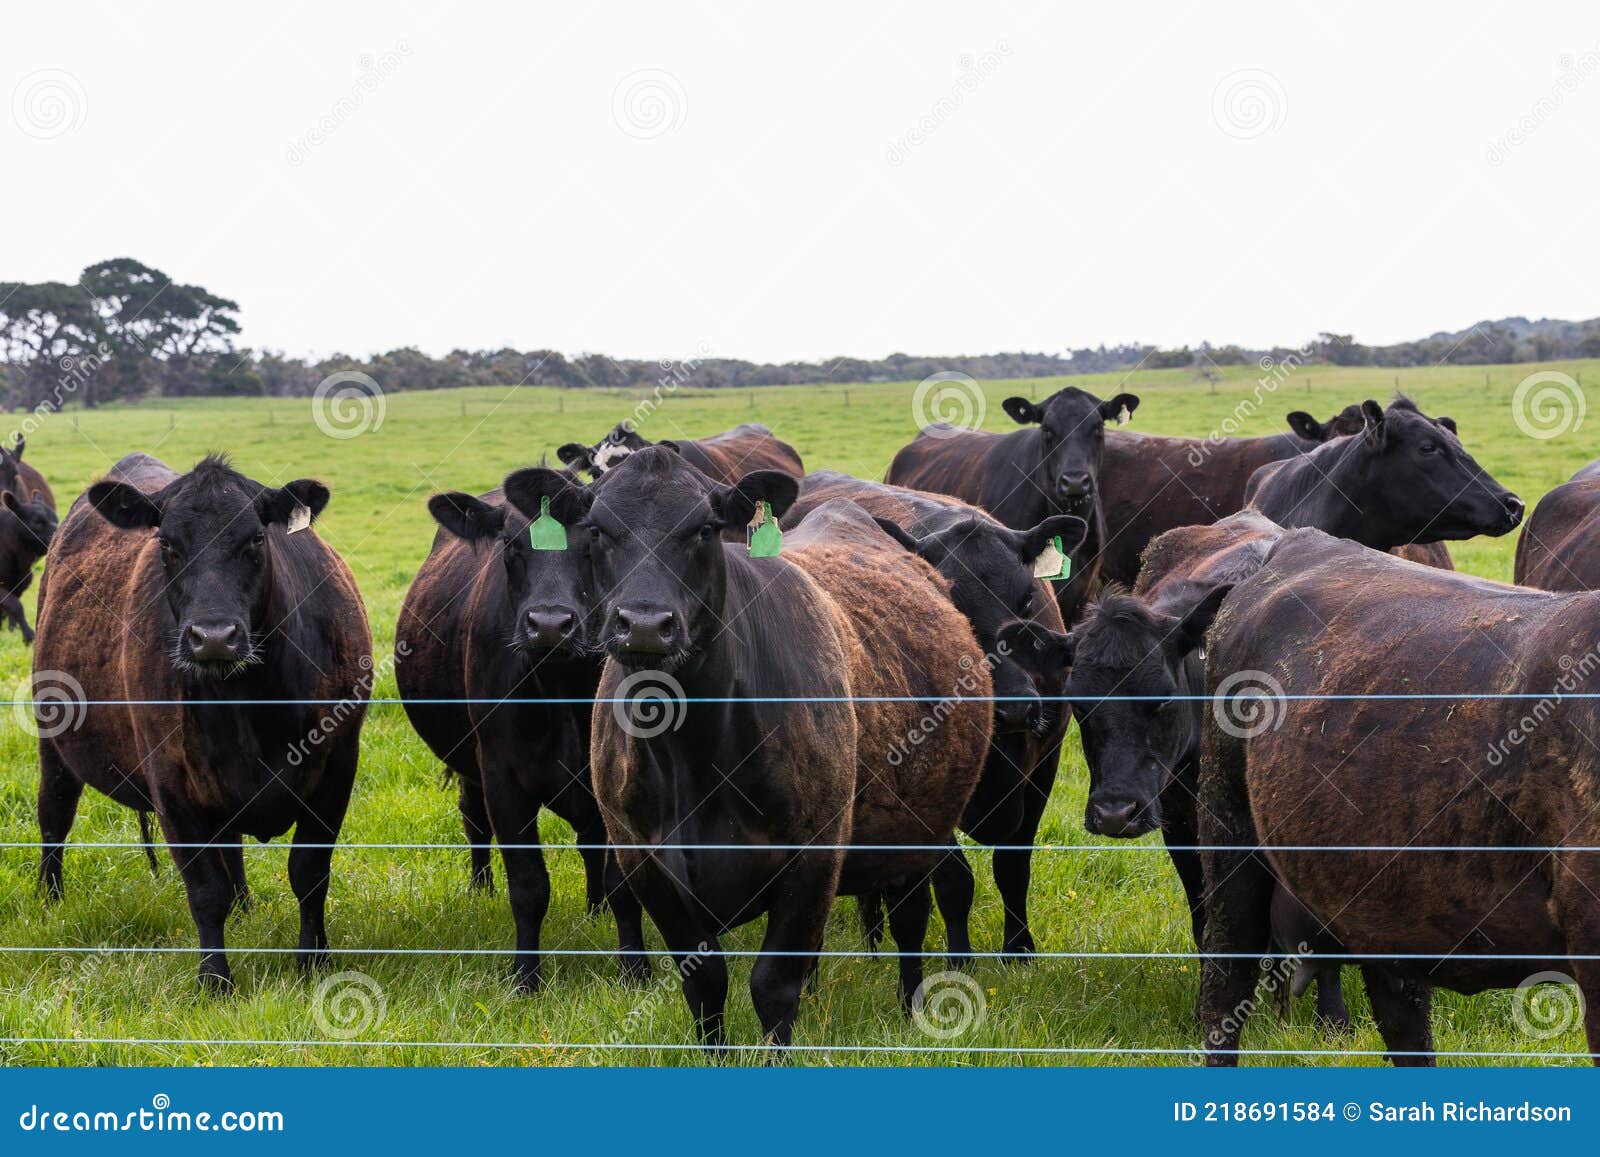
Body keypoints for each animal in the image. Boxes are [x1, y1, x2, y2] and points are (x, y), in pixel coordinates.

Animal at [0, 487, 57, 641]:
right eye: (37, 522)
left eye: (56, 519)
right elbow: (15, 606)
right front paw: (29, 635)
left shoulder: (19, 584)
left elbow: (12, 611)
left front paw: (13, 631)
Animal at [33, 453, 370, 990]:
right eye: (168, 544)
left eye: (255, 539)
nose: (213, 636)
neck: (250, 704)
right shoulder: (171, 782)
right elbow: (206, 890)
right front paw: (215, 980)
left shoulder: (338, 765)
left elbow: (309, 872)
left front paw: (313, 963)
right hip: (53, 738)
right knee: (54, 816)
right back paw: (51, 899)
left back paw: (248, 908)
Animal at [394, 471, 647, 991]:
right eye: (510, 546)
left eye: (594, 539)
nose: (549, 624)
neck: (561, 684)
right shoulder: (502, 778)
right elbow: (529, 885)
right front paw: (525, 977)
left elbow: (621, 881)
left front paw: (634, 969)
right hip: (469, 766)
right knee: (473, 820)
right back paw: (480, 889)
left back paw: (594, 909)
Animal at [522, 447, 992, 1049]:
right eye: (597, 531)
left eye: (704, 529)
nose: (645, 625)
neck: (691, 755)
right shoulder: (644, 864)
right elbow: (705, 984)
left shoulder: (813, 859)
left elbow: (773, 985)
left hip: (919, 830)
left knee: (911, 919)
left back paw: (912, 1010)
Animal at [782, 470, 1085, 959]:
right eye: (950, 605)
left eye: (1026, 600)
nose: (1016, 706)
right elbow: (955, 881)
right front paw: (960, 958)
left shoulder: (1046, 763)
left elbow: (1013, 866)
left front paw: (1019, 950)